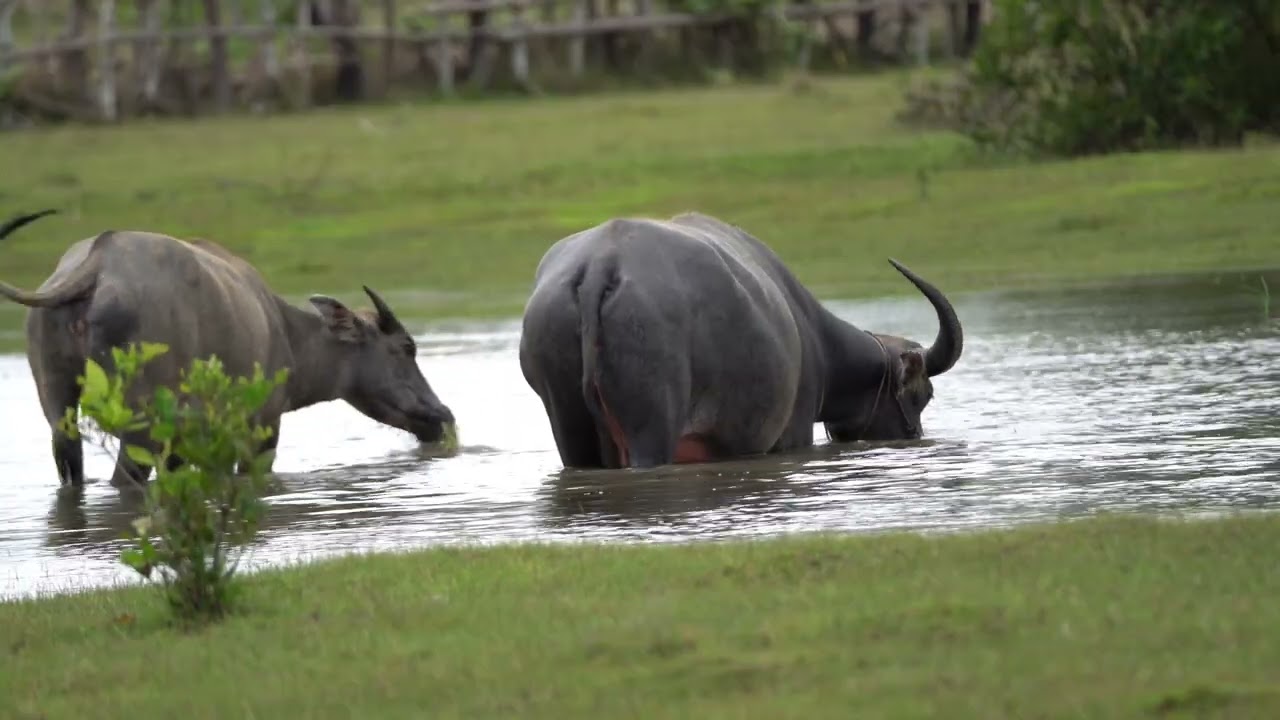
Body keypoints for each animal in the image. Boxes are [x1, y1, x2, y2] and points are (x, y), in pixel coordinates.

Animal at [0, 212, 455, 487]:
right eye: (406, 347)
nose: (443, 416)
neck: (284, 330)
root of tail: (95, 264)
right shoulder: (262, 427)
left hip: (59, 406)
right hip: (141, 427)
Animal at [519, 212, 963, 469]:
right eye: (923, 396)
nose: (915, 436)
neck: (818, 342)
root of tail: (600, 265)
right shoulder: (794, 431)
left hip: (569, 424)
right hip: (652, 425)